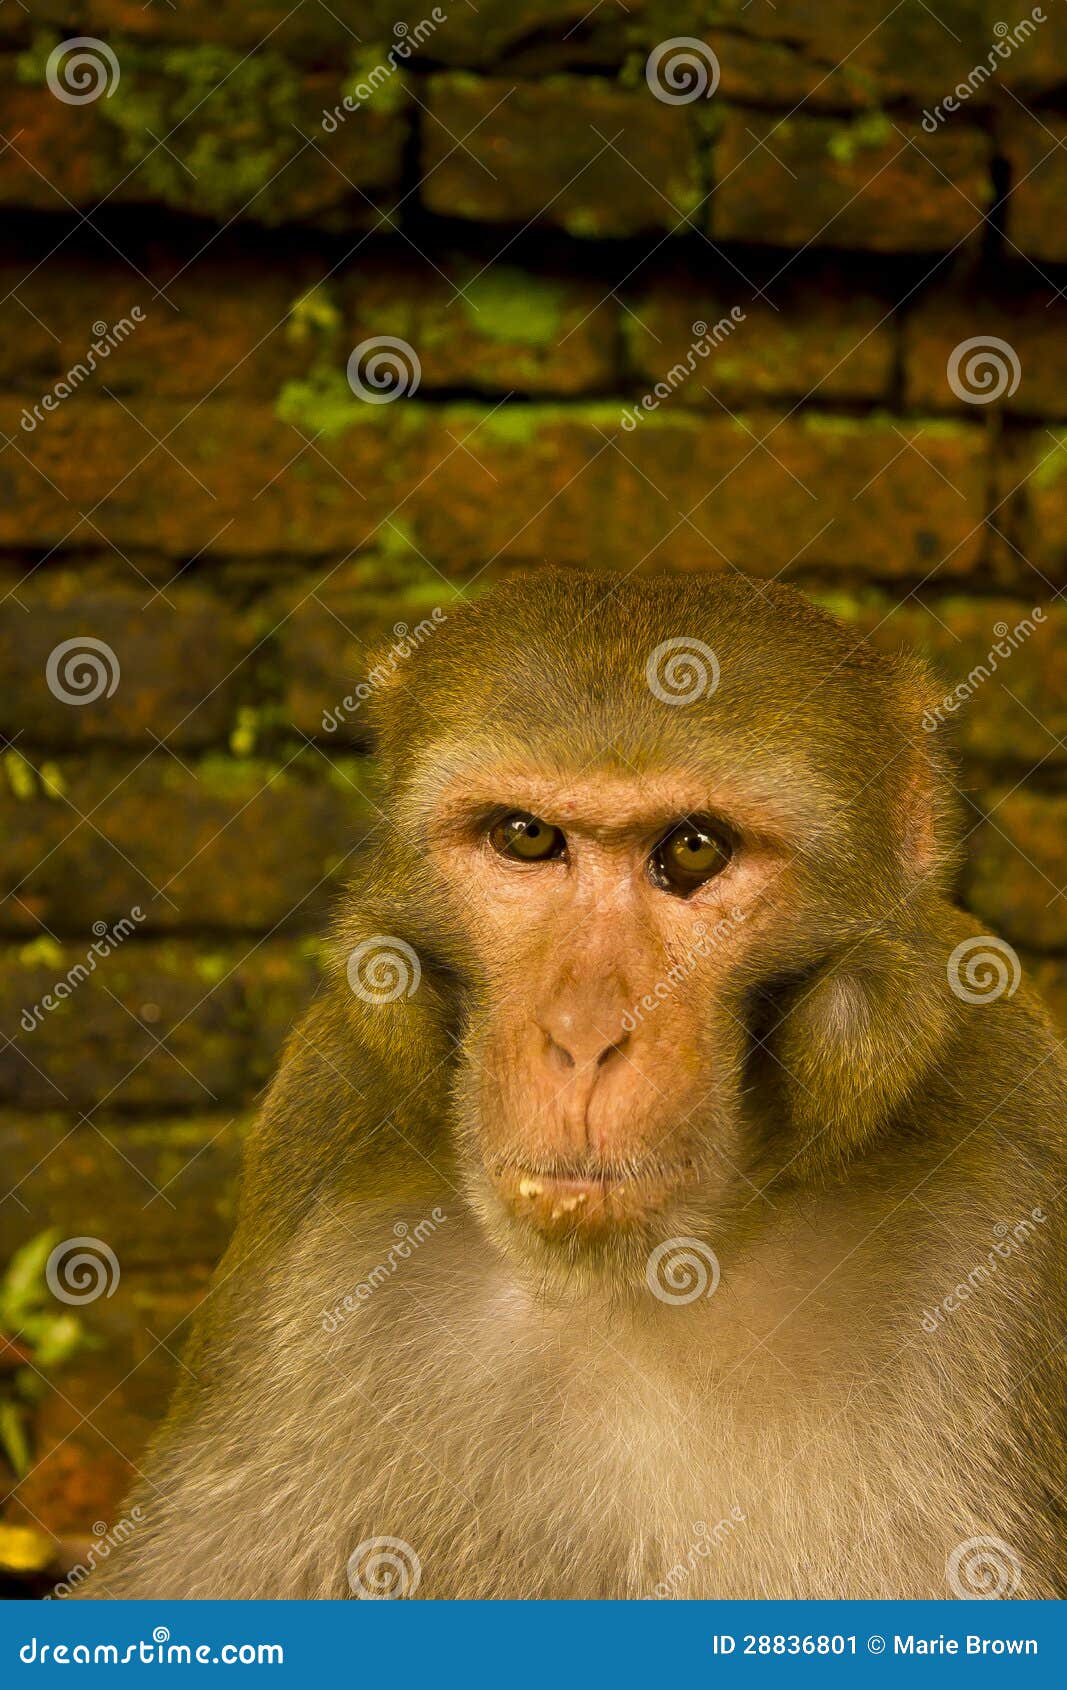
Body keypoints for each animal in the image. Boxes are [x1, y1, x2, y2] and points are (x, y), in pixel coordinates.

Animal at [87, 569, 1065, 1600]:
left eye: (693, 849)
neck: (648, 1280)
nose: (583, 1038)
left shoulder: (1005, 1152)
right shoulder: (324, 1149)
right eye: (525, 837)